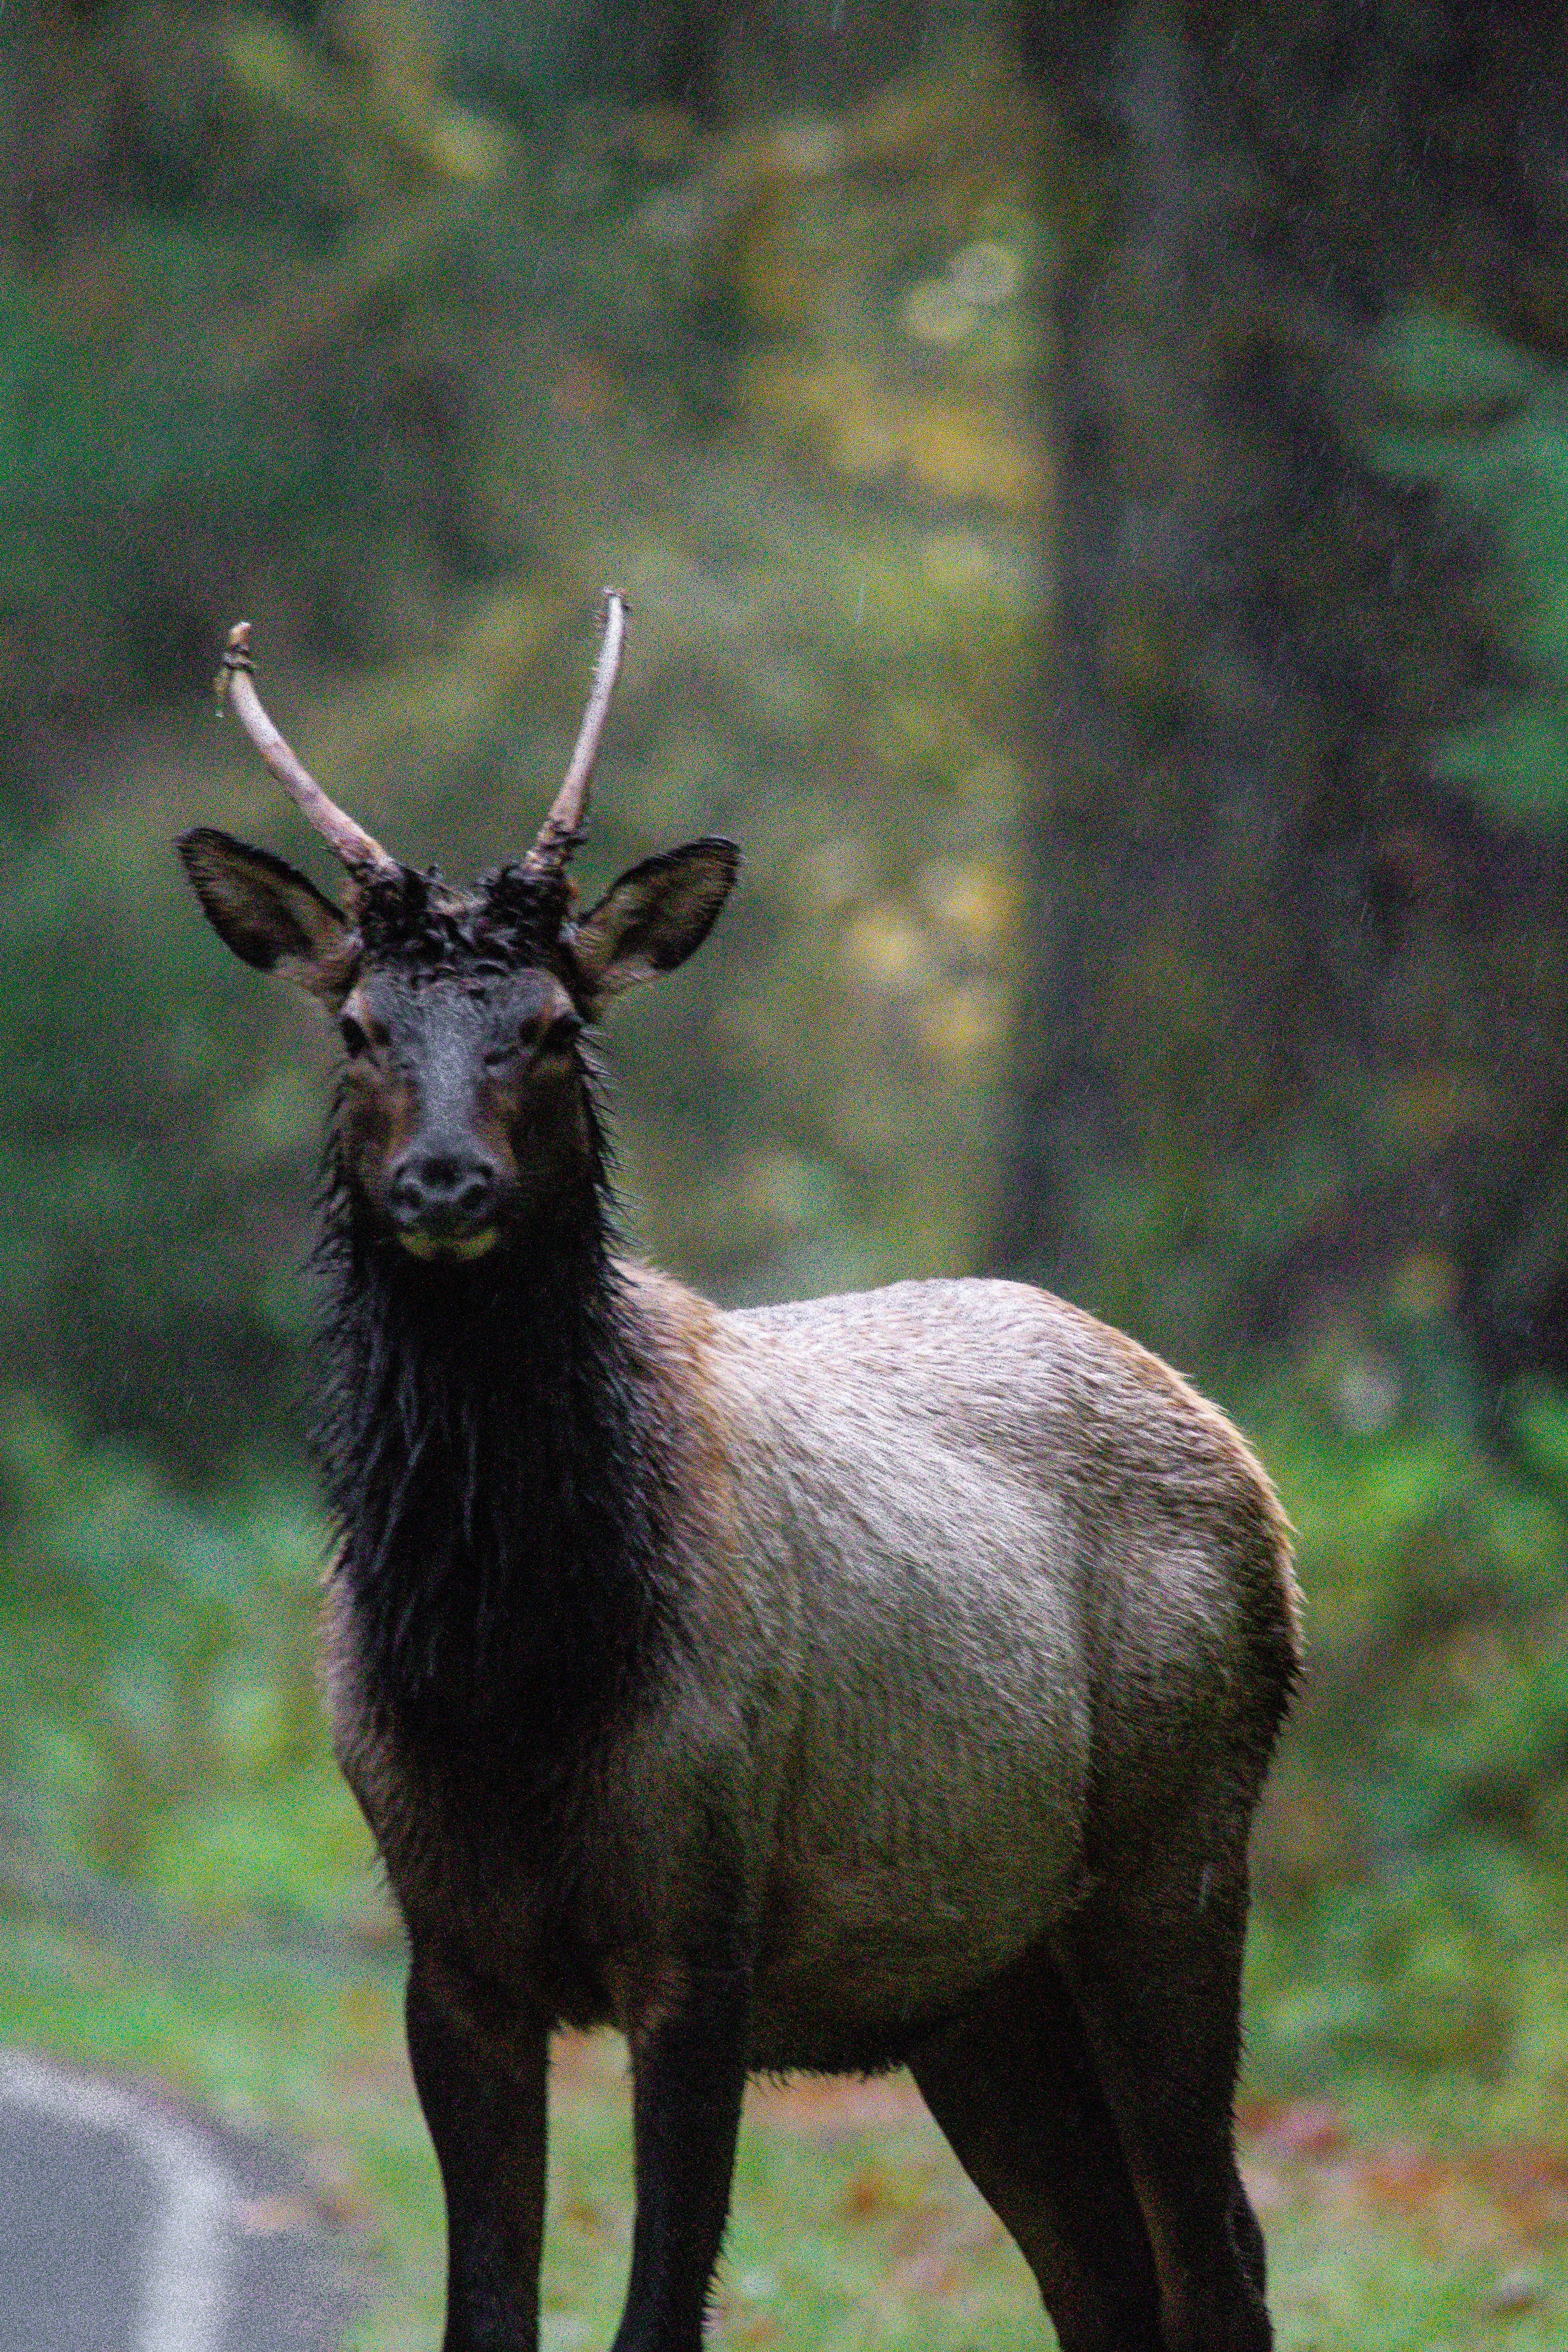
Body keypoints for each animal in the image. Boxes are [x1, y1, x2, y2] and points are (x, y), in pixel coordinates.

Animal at [178, 592, 1302, 2352]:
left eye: (553, 1025)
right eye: (359, 1027)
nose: (444, 1182)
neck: (515, 1671)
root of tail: (1245, 1468)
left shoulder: (699, 1923)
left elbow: (659, 2310)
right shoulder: (451, 1950)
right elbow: (486, 2308)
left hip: (1176, 1845)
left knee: (1221, 2254)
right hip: (973, 1978)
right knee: (1104, 2274)